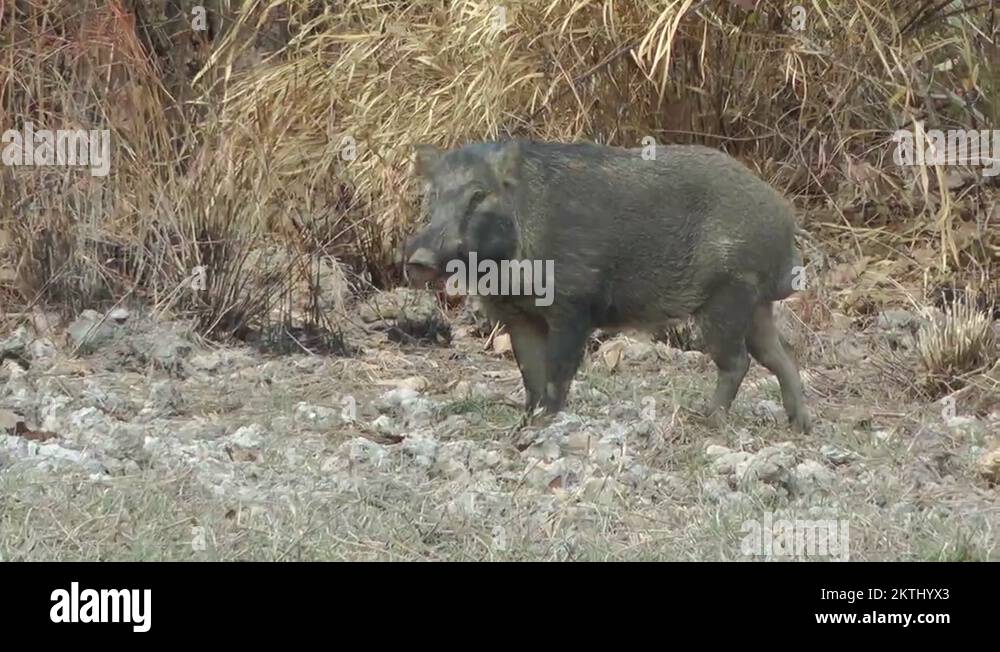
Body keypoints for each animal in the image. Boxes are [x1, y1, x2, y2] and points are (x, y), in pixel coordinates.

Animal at [403, 139, 811, 433]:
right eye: (433, 196)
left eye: (478, 195)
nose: (418, 259)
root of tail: (784, 216)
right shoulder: (518, 315)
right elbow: (530, 374)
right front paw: (525, 423)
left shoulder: (572, 307)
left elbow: (558, 371)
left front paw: (546, 423)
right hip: (755, 306)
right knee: (780, 355)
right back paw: (799, 426)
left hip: (728, 296)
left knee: (739, 361)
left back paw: (711, 422)